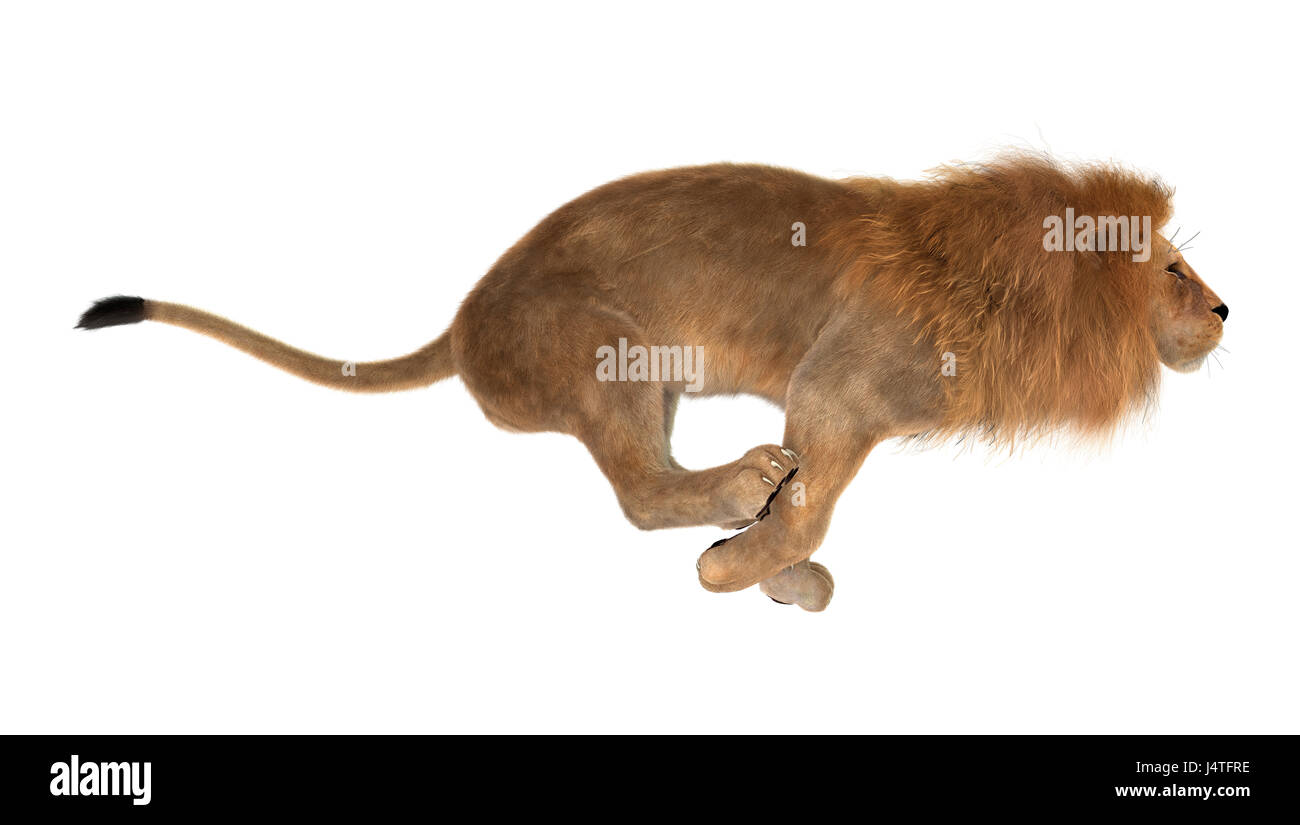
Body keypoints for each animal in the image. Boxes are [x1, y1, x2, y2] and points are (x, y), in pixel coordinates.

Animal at [77, 153, 1227, 611]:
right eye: (1172, 268)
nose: (1227, 312)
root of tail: (459, 322)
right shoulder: (837, 388)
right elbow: (810, 504)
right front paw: (747, 566)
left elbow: (812, 512)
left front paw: (769, 569)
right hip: (602, 348)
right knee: (638, 492)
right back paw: (743, 489)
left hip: (653, 375)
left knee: (657, 476)